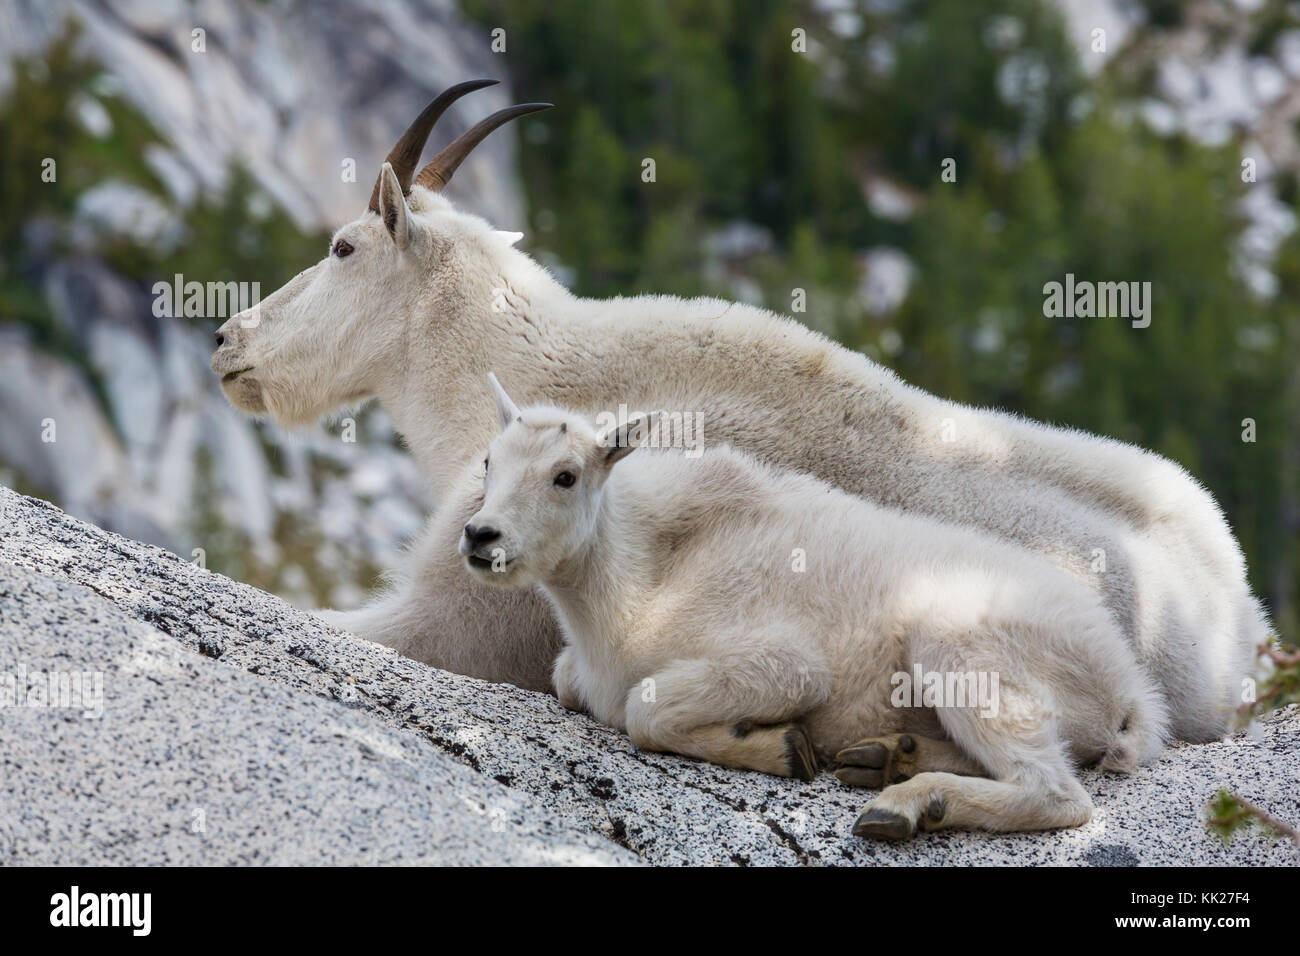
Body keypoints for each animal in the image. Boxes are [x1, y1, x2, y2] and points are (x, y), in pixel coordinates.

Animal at [458, 376, 1170, 838]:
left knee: (1059, 795)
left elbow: (645, 709)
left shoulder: (786, 663)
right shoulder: (575, 671)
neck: (633, 578)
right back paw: (888, 756)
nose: (480, 536)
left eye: (566, 476)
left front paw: (783, 747)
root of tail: (1131, 695)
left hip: (962, 649)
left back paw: (906, 804)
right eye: (489, 461)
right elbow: (566, 681)